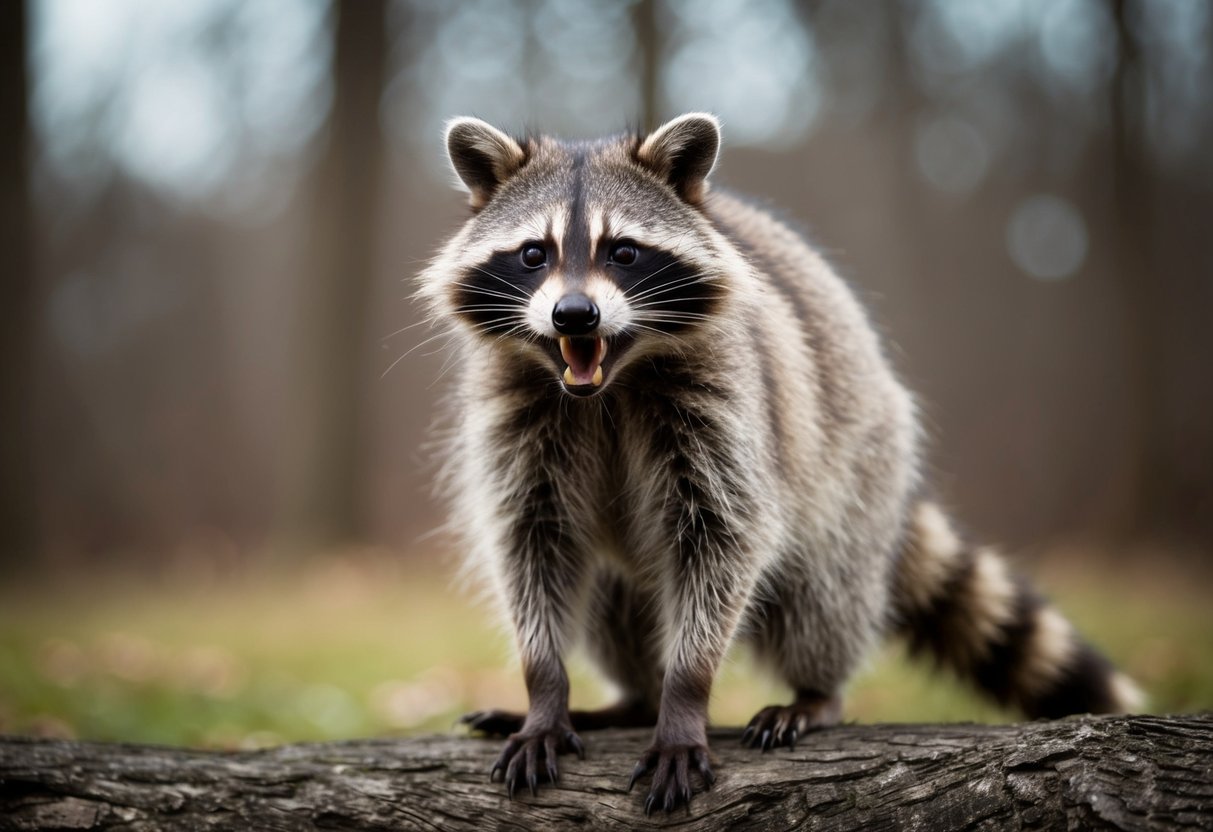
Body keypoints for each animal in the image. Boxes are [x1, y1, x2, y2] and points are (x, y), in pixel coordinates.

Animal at [417, 113, 1143, 813]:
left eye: (622, 252)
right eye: (532, 254)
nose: (574, 315)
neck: (608, 385)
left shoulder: (730, 410)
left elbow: (724, 541)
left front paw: (685, 696)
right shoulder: (517, 424)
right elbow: (530, 546)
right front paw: (546, 692)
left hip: (855, 469)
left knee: (820, 597)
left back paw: (812, 692)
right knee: (607, 601)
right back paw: (631, 700)